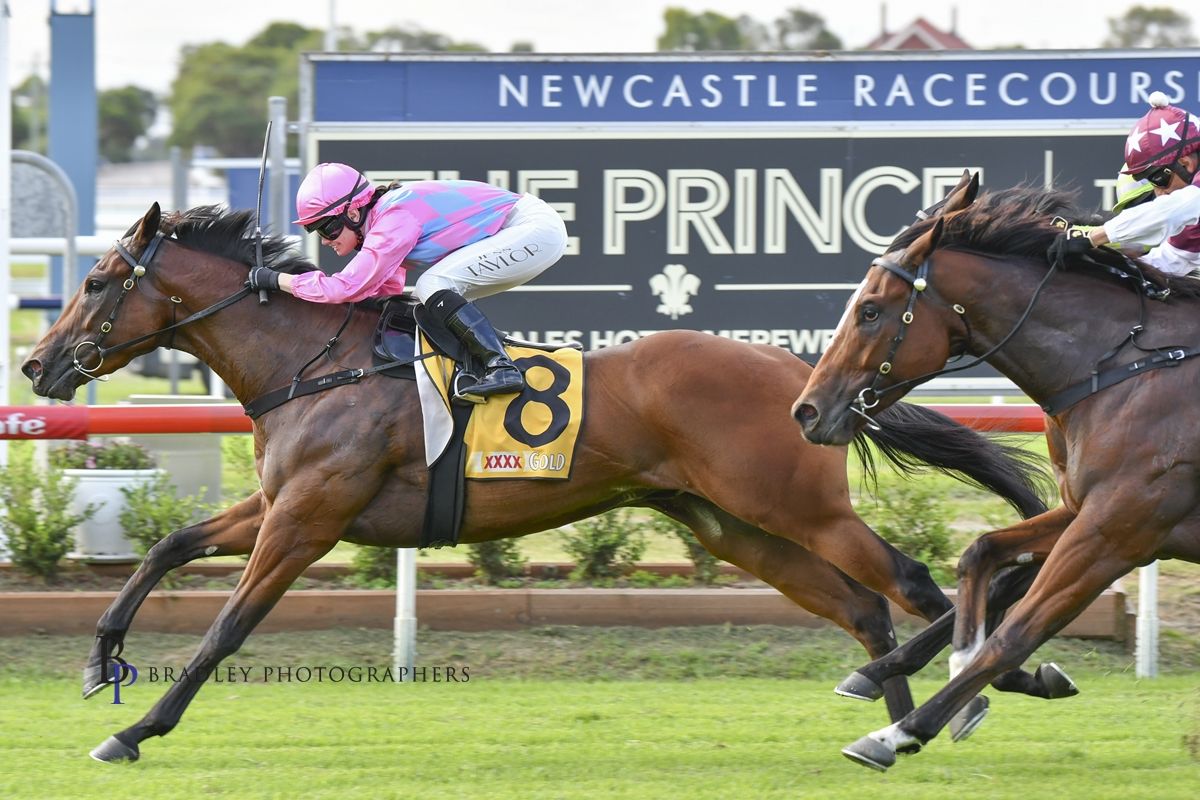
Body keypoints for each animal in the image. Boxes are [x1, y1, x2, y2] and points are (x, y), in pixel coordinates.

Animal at [21, 202, 1048, 763]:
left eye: (101, 280)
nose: (36, 365)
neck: (310, 362)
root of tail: (801, 375)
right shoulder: (281, 505)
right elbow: (168, 545)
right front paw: (101, 661)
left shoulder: (310, 518)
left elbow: (228, 627)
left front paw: (136, 730)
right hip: (731, 525)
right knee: (865, 606)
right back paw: (910, 711)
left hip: (794, 506)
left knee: (910, 582)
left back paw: (989, 686)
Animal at [792, 182, 1200, 771]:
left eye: (869, 311)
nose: (807, 411)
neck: (1127, 365)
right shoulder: (1084, 510)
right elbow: (982, 555)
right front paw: (902, 668)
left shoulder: (1119, 531)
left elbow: (1017, 631)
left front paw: (900, 731)